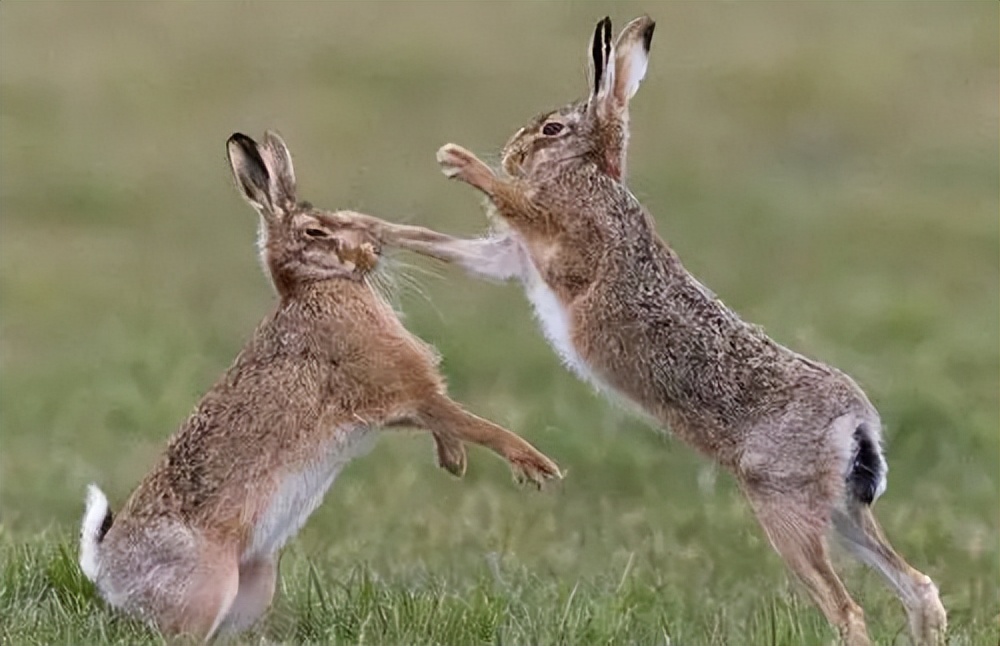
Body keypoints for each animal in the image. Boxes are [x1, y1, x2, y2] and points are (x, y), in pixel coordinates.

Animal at [78, 131, 561, 641]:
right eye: (315, 231)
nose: (373, 250)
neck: (315, 286)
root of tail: (108, 573)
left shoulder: (400, 404)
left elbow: (445, 423)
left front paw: (454, 462)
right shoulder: (404, 388)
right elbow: (474, 423)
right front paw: (535, 464)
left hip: (257, 582)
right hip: (207, 586)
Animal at [369, 16, 947, 646]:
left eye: (552, 129)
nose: (515, 154)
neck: (588, 172)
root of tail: (856, 421)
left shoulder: (563, 238)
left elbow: (514, 203)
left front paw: (460, 160)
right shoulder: (514, 259)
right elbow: (444, 245)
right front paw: (360, 229)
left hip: (783, 503)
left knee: (848, 608)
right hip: (841, 510)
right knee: (917, 586)